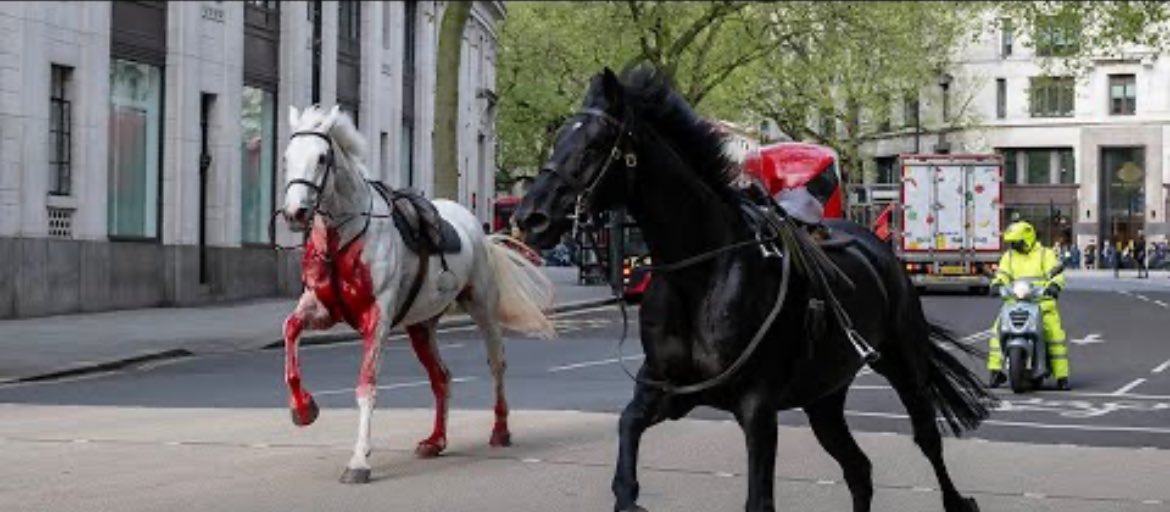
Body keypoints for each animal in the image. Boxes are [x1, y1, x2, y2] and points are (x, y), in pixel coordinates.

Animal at [278, 105, 557, 484]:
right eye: (286, 156)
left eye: (322, 158)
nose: (295, 213)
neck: (344, 239)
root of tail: (477, 228)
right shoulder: (322, 310)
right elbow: (290, 331)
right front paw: (304, 408)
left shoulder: (377, 318)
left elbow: (366, 386)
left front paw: (359, 461)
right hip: (421, 325)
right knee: (441, 377)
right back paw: (436, 440)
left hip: (482, 306)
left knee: (497, 364)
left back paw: (500, 430)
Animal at [515, 66, 996, 512]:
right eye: (558, 140)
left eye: (594, 146)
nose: (529, 217)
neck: (701, 277)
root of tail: (876, 244)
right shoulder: (666, 392)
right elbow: (627, 435)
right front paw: (629, 495)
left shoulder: (757, 408)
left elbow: (758, 499)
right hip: (823, 397)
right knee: (859, 469)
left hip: (903, 362)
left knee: (927, 438)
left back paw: (959, 498)